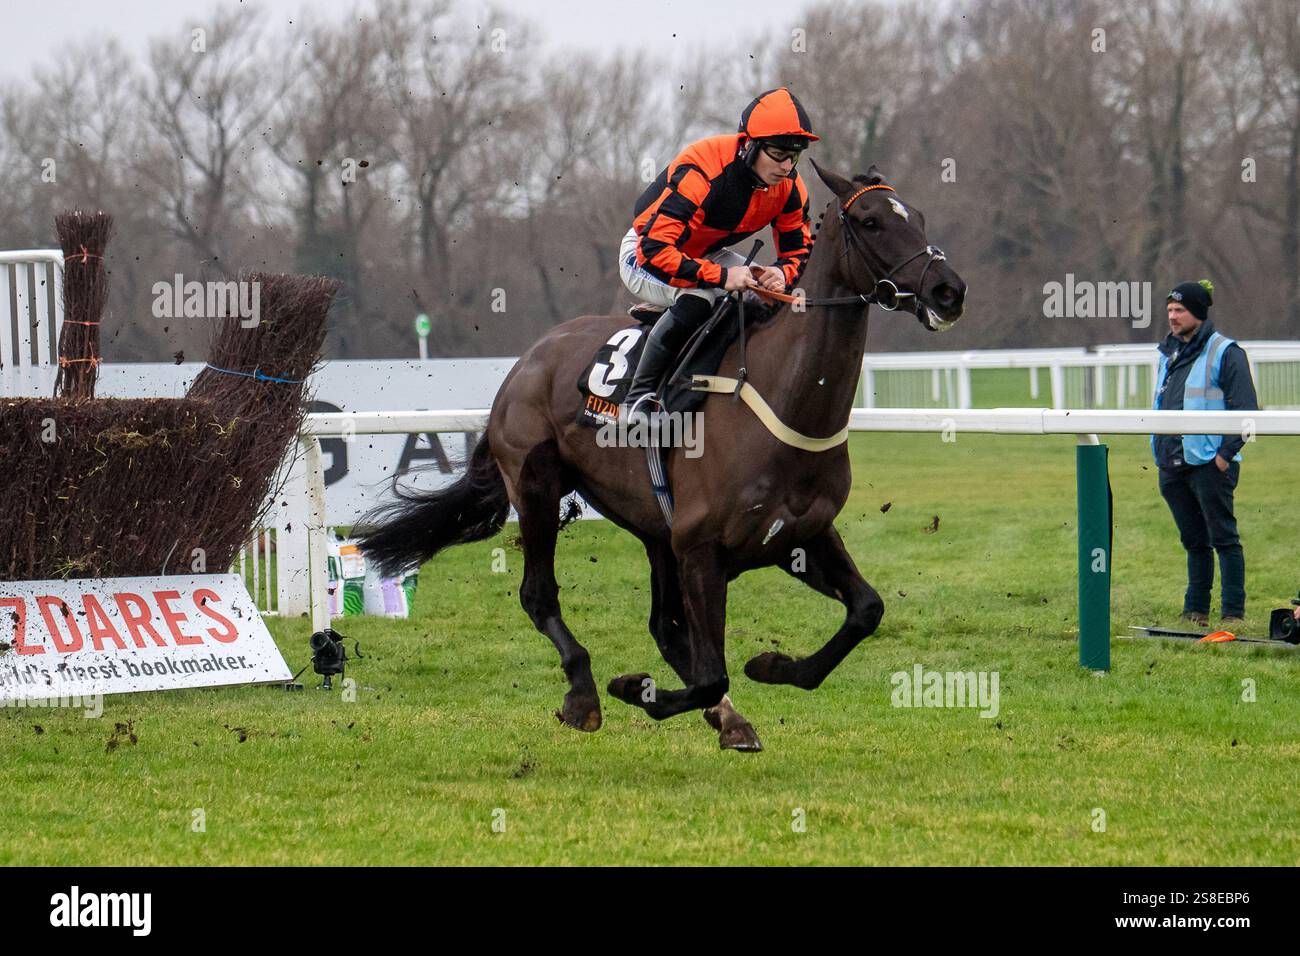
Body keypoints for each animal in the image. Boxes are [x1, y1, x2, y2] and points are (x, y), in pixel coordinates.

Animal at [358, 159, 967, 751]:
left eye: (918, 216)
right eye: (870, 221)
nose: (948, 290)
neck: (783, 400)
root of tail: (525, 362)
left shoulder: (798, 536)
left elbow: (865, 610)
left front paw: (771, 667)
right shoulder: (701, 549)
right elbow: (712, 673)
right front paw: (636, 689)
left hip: (654, 528)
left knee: (665, 625)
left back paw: (723, 717)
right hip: (537, 488)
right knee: (540, 595)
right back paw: (584, 694)